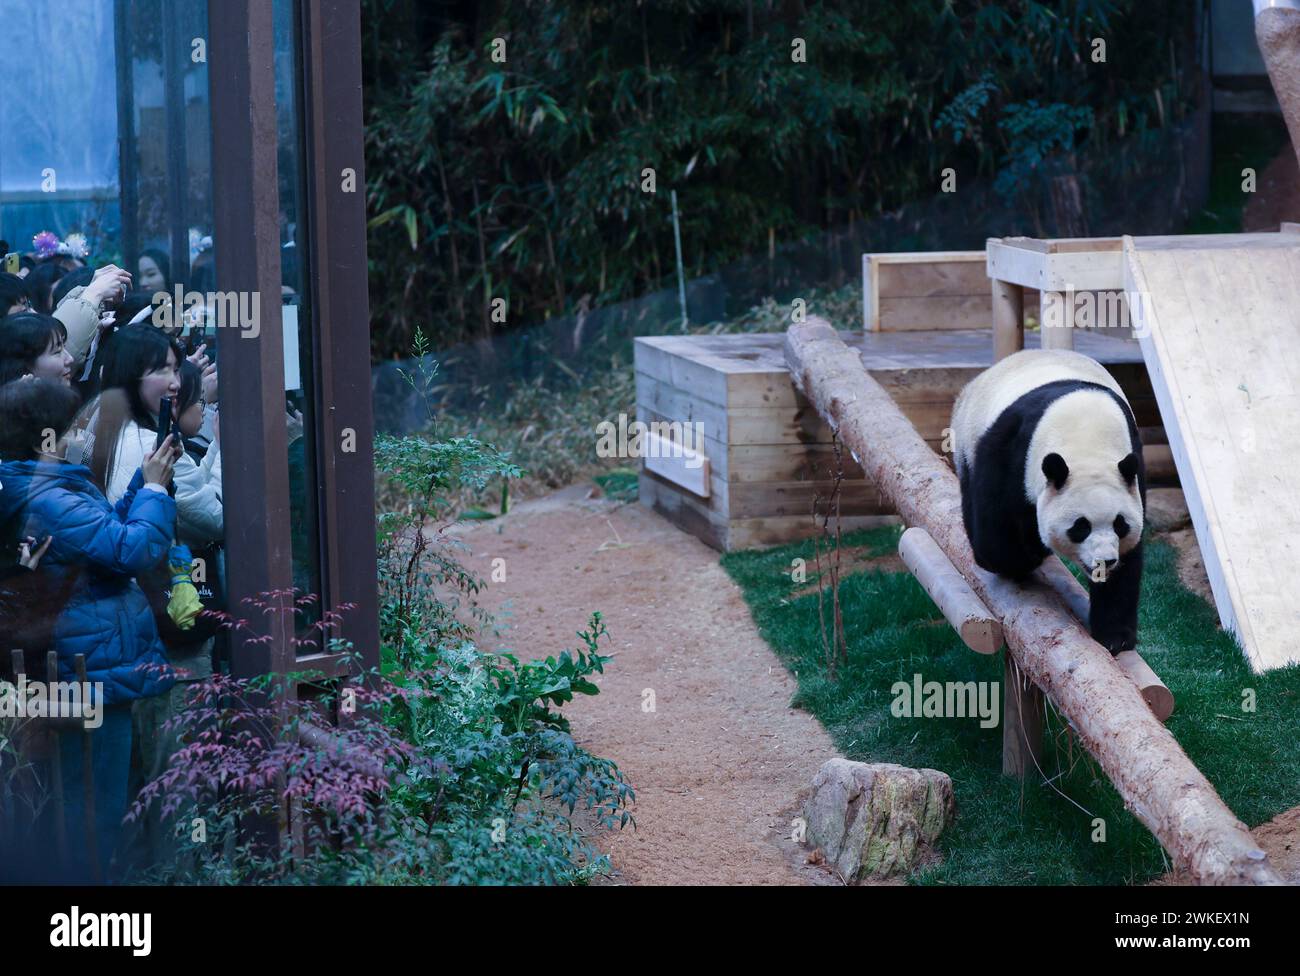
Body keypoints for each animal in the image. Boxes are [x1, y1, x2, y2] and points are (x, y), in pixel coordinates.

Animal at [951, 349, 1146, 654]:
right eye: (1081, 527)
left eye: (1120, 525)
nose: (1105, 561)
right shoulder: (1012, 450)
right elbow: (998, 530)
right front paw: (1021, 559)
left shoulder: (1131, 466)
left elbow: (1129, 561)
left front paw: (1116, 636)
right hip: (966, 441)